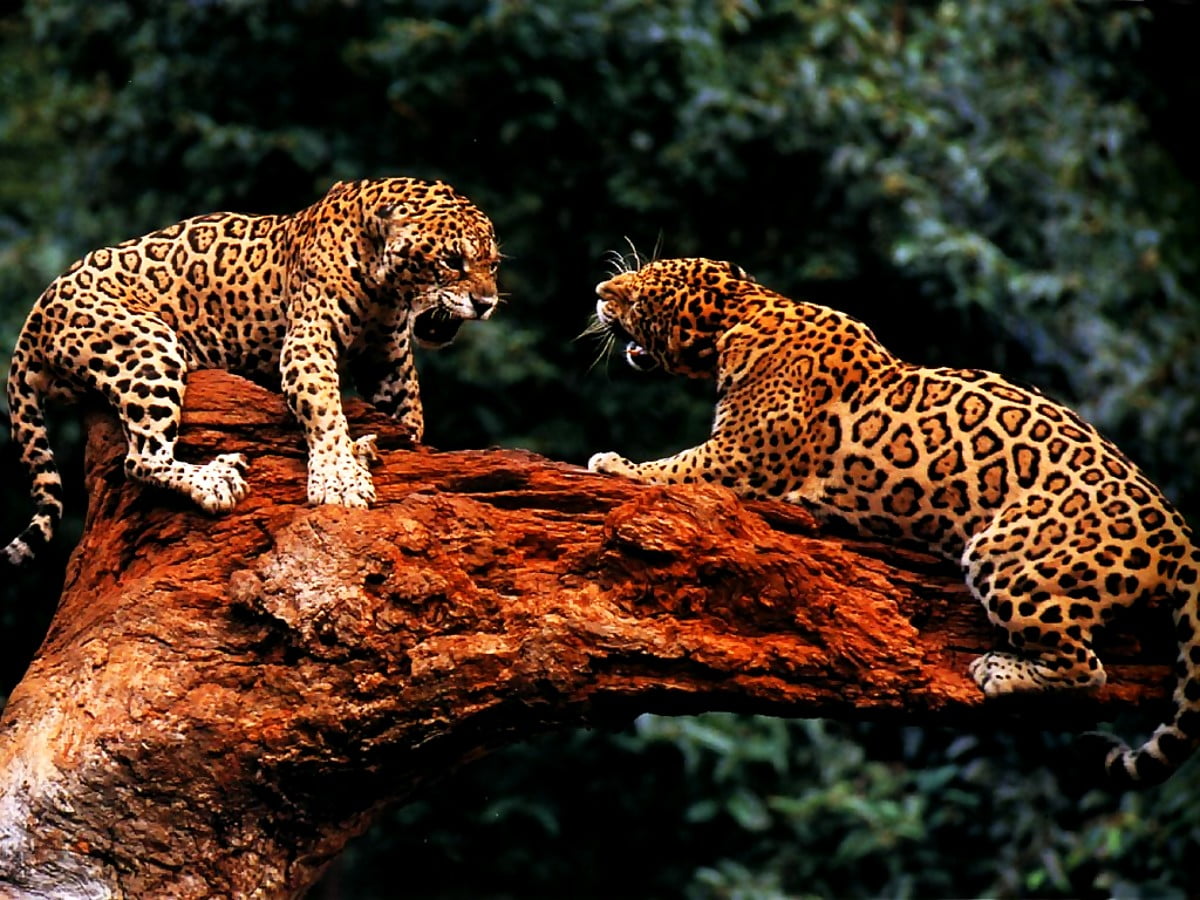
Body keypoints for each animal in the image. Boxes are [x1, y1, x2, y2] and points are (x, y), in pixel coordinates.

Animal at [4, 177, 501, 566]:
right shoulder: (308, 339)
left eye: (493, 264)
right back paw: (216, 479)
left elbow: (408, 419)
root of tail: (33, 318)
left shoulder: (388, 360)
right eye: (452, 261)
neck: (386, 287)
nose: (487, 302)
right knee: (141, 459)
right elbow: (323, 408)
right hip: (147, 347)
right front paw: (339, 479)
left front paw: (381, 450)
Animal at [586, 255, 1200, 787]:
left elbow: (674, 470)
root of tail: (1179, 533)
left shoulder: (739, 459)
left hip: (1009, 558)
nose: (599, 290)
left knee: (1088, 668)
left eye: (641, 294)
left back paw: (999, 671)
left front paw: (615, 464)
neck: (748, 312)